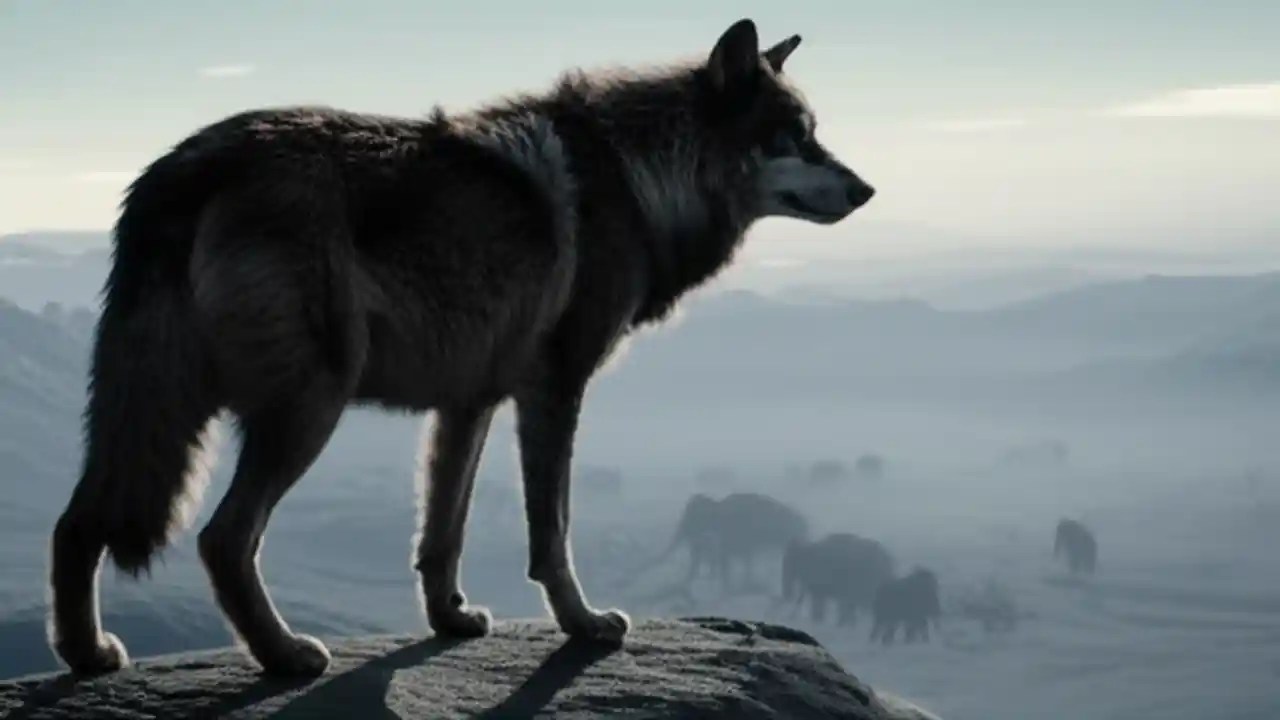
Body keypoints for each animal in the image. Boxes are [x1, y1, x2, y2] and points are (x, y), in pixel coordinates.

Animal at [47, 17, 875, 677]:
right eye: (796, 138)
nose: (866, 190)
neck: (639, 173)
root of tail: (184, 169)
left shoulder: (468, 402)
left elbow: (443, 531)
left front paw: (450, 619)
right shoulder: (555, 389)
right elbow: (553, 530)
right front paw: (584, 625)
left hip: (154, 407)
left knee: (77, 523)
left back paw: (88, 656)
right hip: (307, 408)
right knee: (224, 539)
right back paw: (284, 656)